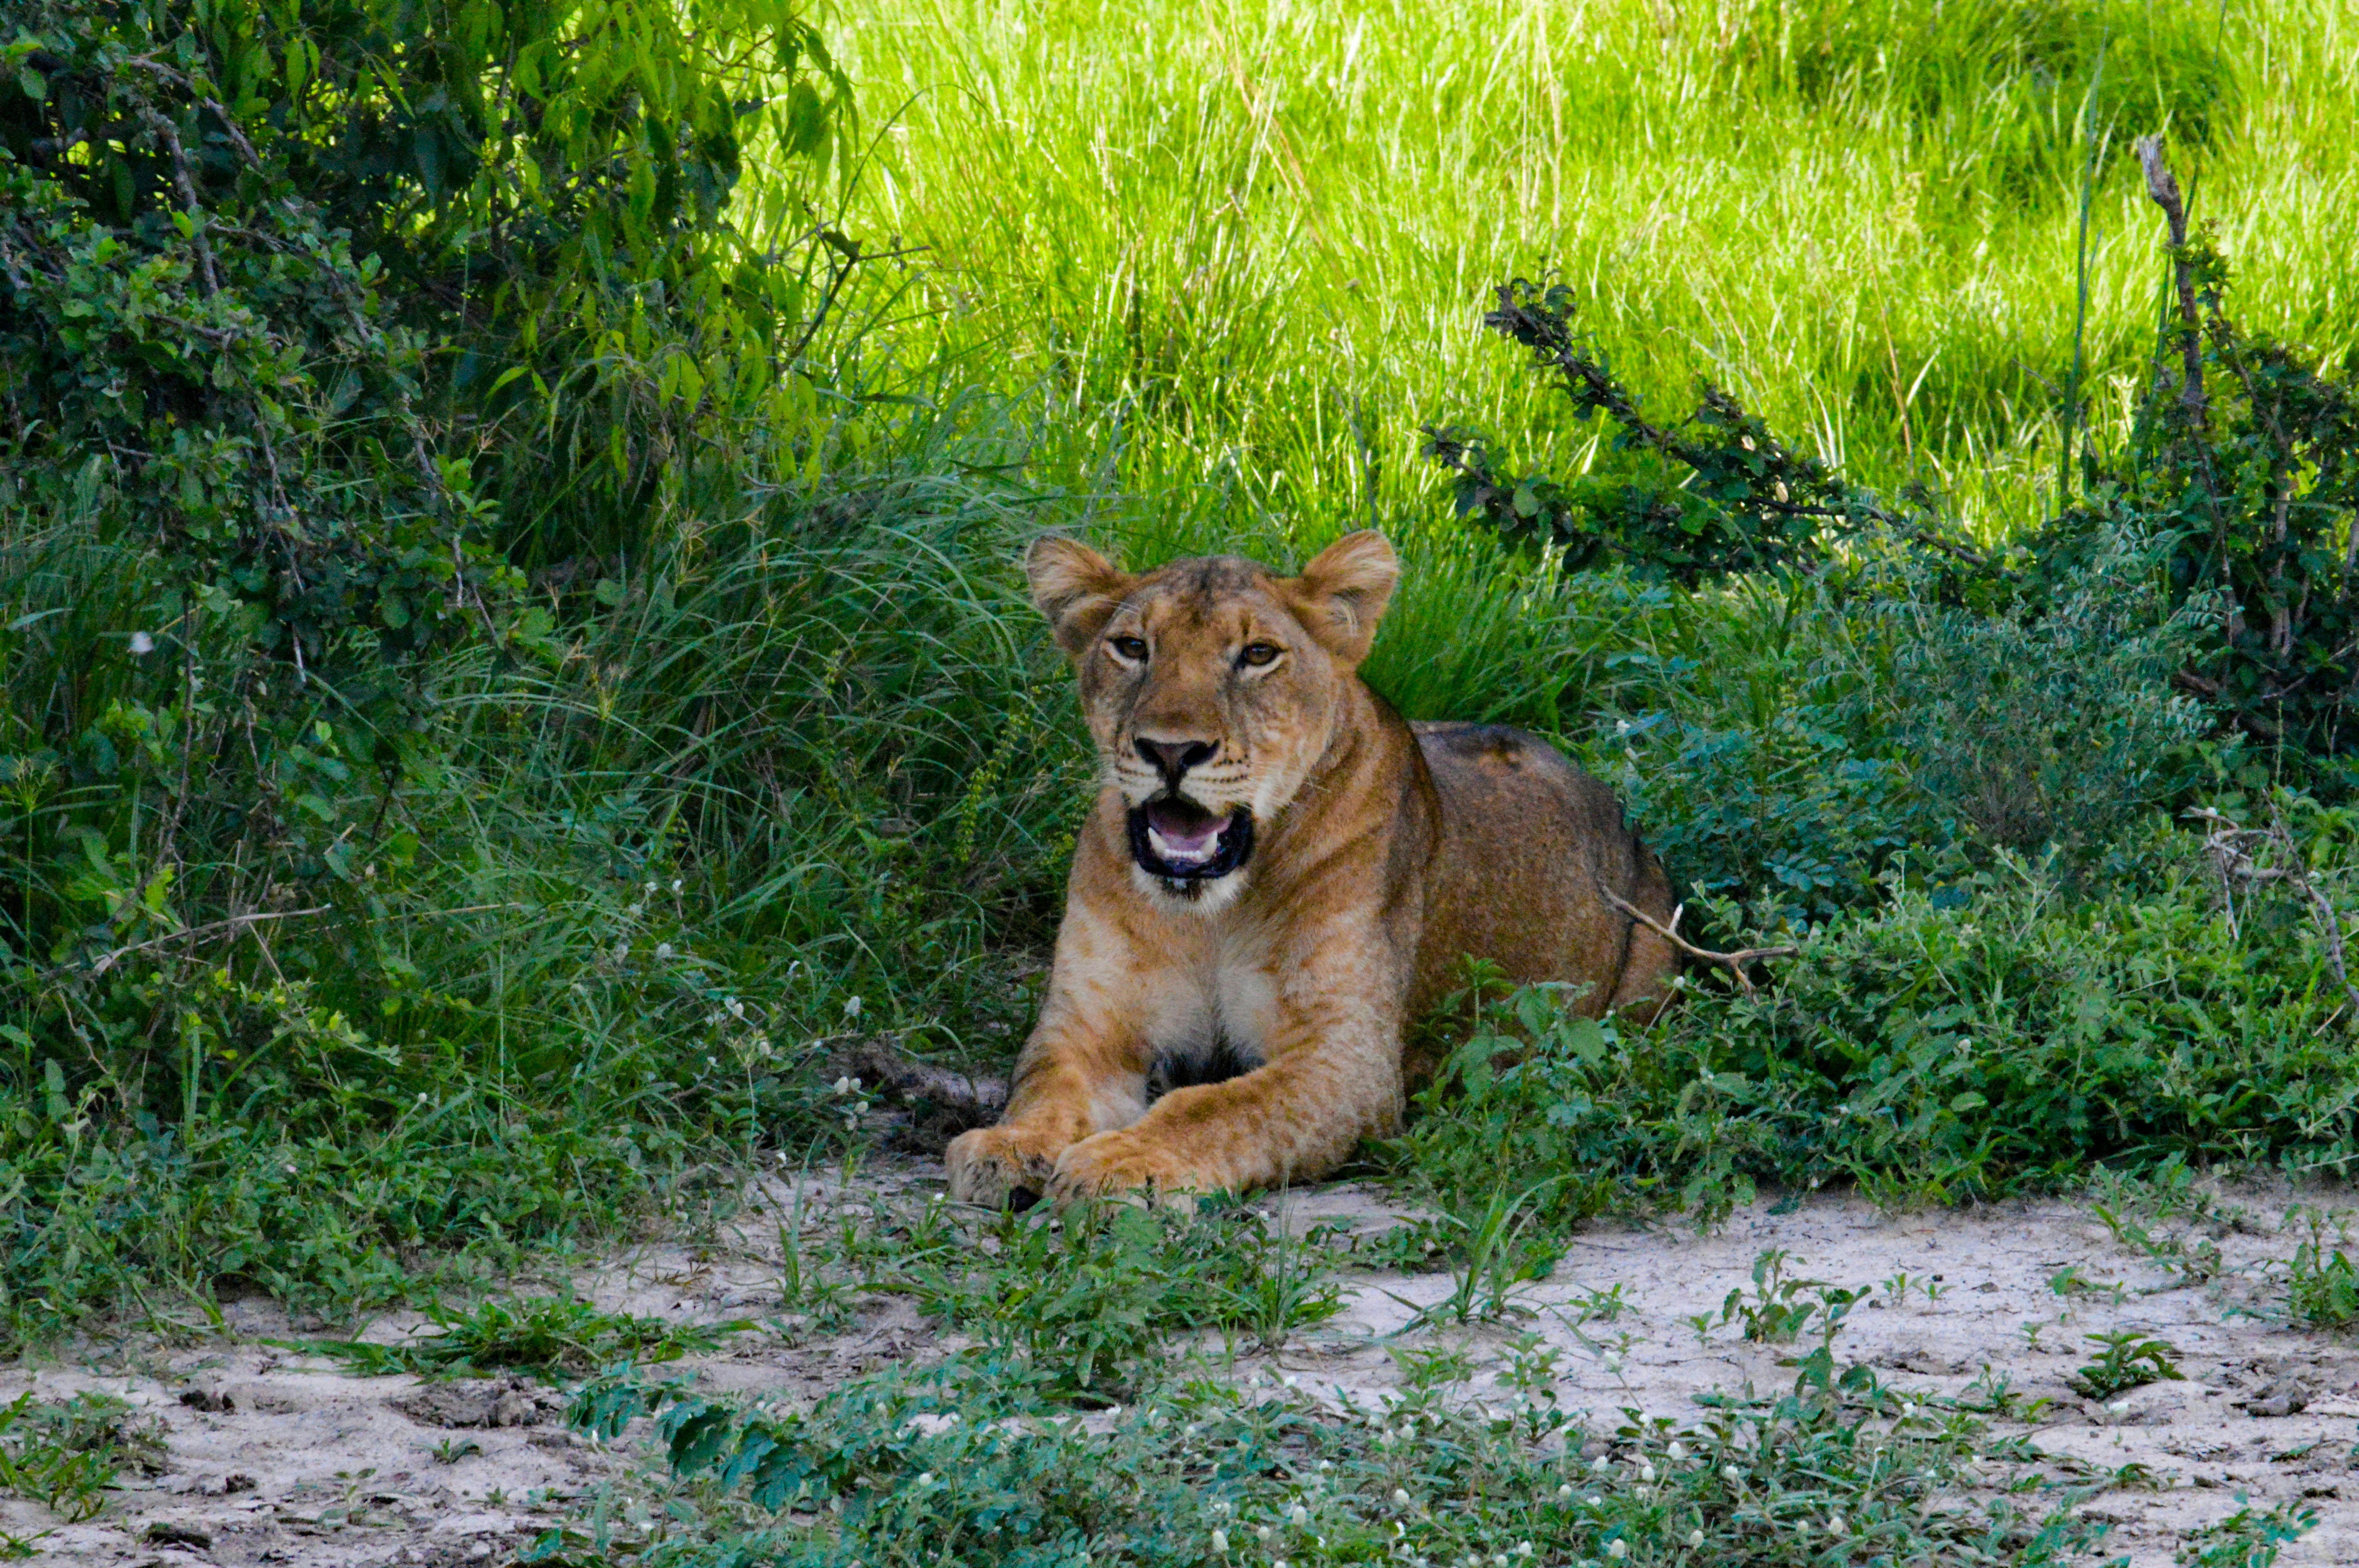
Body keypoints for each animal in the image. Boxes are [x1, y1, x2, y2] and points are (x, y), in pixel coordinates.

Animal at [944, 530, 1677, 1207]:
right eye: (1132, 647)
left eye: (1257, 655)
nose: (1170, 751)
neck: (1209, 914)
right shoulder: (1087, 1029)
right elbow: (1049, 1086)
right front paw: (1008, 1146)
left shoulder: (1346, 1062)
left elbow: (1215, 1108)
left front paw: (1122, 1162)